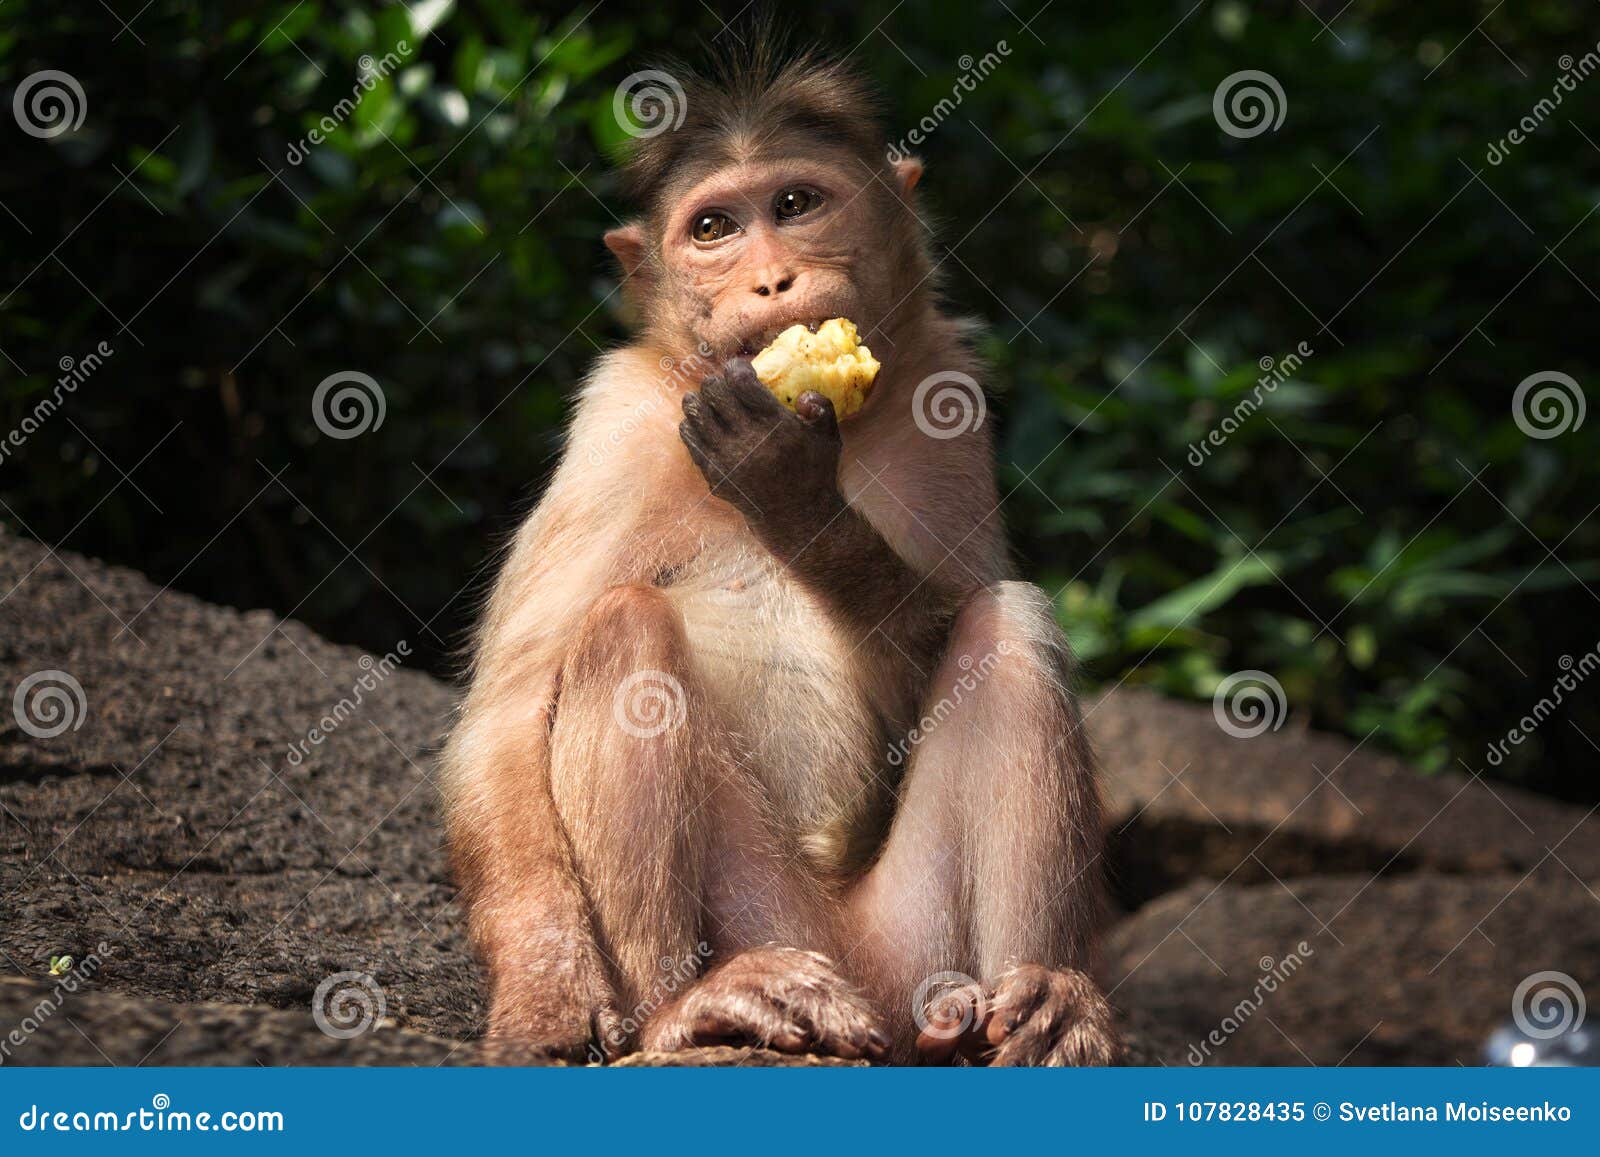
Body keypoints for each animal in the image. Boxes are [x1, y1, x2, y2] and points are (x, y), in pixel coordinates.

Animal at [440, 46, 1119, 1067]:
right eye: (713, 228)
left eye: (796, 204)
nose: (770, 282)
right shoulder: (613, 429)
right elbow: (507, 716)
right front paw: (546, 987)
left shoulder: (946, 394)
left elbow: (941, 637)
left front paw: (798, 494)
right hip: (765, 910)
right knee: (623, 630)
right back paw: (688, 1010)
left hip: (913, 945)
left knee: (1008, 622)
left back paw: (1039, 1003)